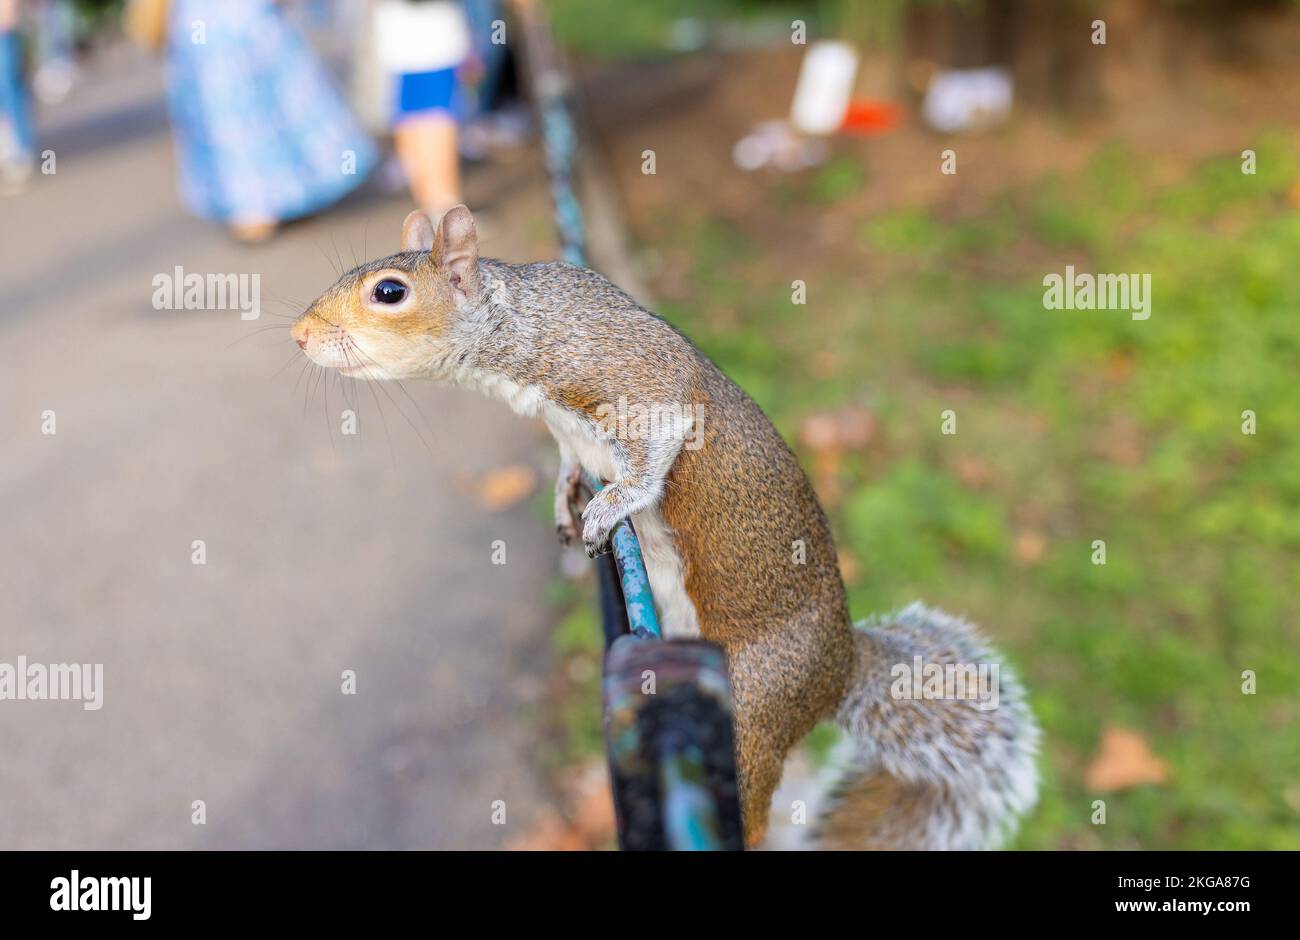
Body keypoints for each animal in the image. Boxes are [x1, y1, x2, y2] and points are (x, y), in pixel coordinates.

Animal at [291, 206, 1040, 849]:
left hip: (755, 703)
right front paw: (567, 492)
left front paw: (611, 503)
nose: (299, 334)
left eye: (390, 292)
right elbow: (570, 460)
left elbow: (658, 444)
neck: (511, 330)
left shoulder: (632, 373)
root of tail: (841, 667)